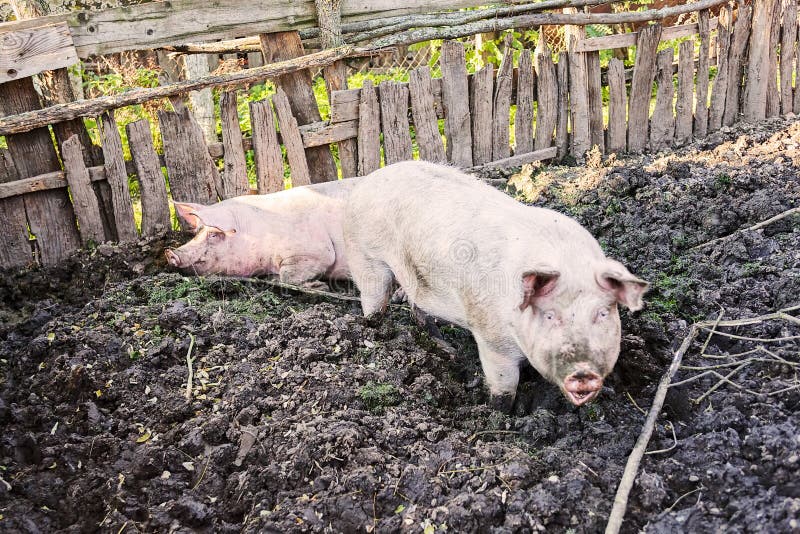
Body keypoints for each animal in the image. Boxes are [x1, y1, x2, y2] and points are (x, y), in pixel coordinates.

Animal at [165, 178, 357, 284]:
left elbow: (288, 275)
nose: (170, 253)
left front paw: (320, 286)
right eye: (197, 231)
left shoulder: (316, 251)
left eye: (213, 234)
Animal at [343, 161, 648, 410]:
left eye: (603, 313)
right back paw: (376, 327)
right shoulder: (492, 338)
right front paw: (501, 416)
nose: (583, 372)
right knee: (374, 297)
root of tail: (364, 183)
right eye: (550, 316)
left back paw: (447, 349)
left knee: (418, 306)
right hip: (365, 255)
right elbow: (503, 388)